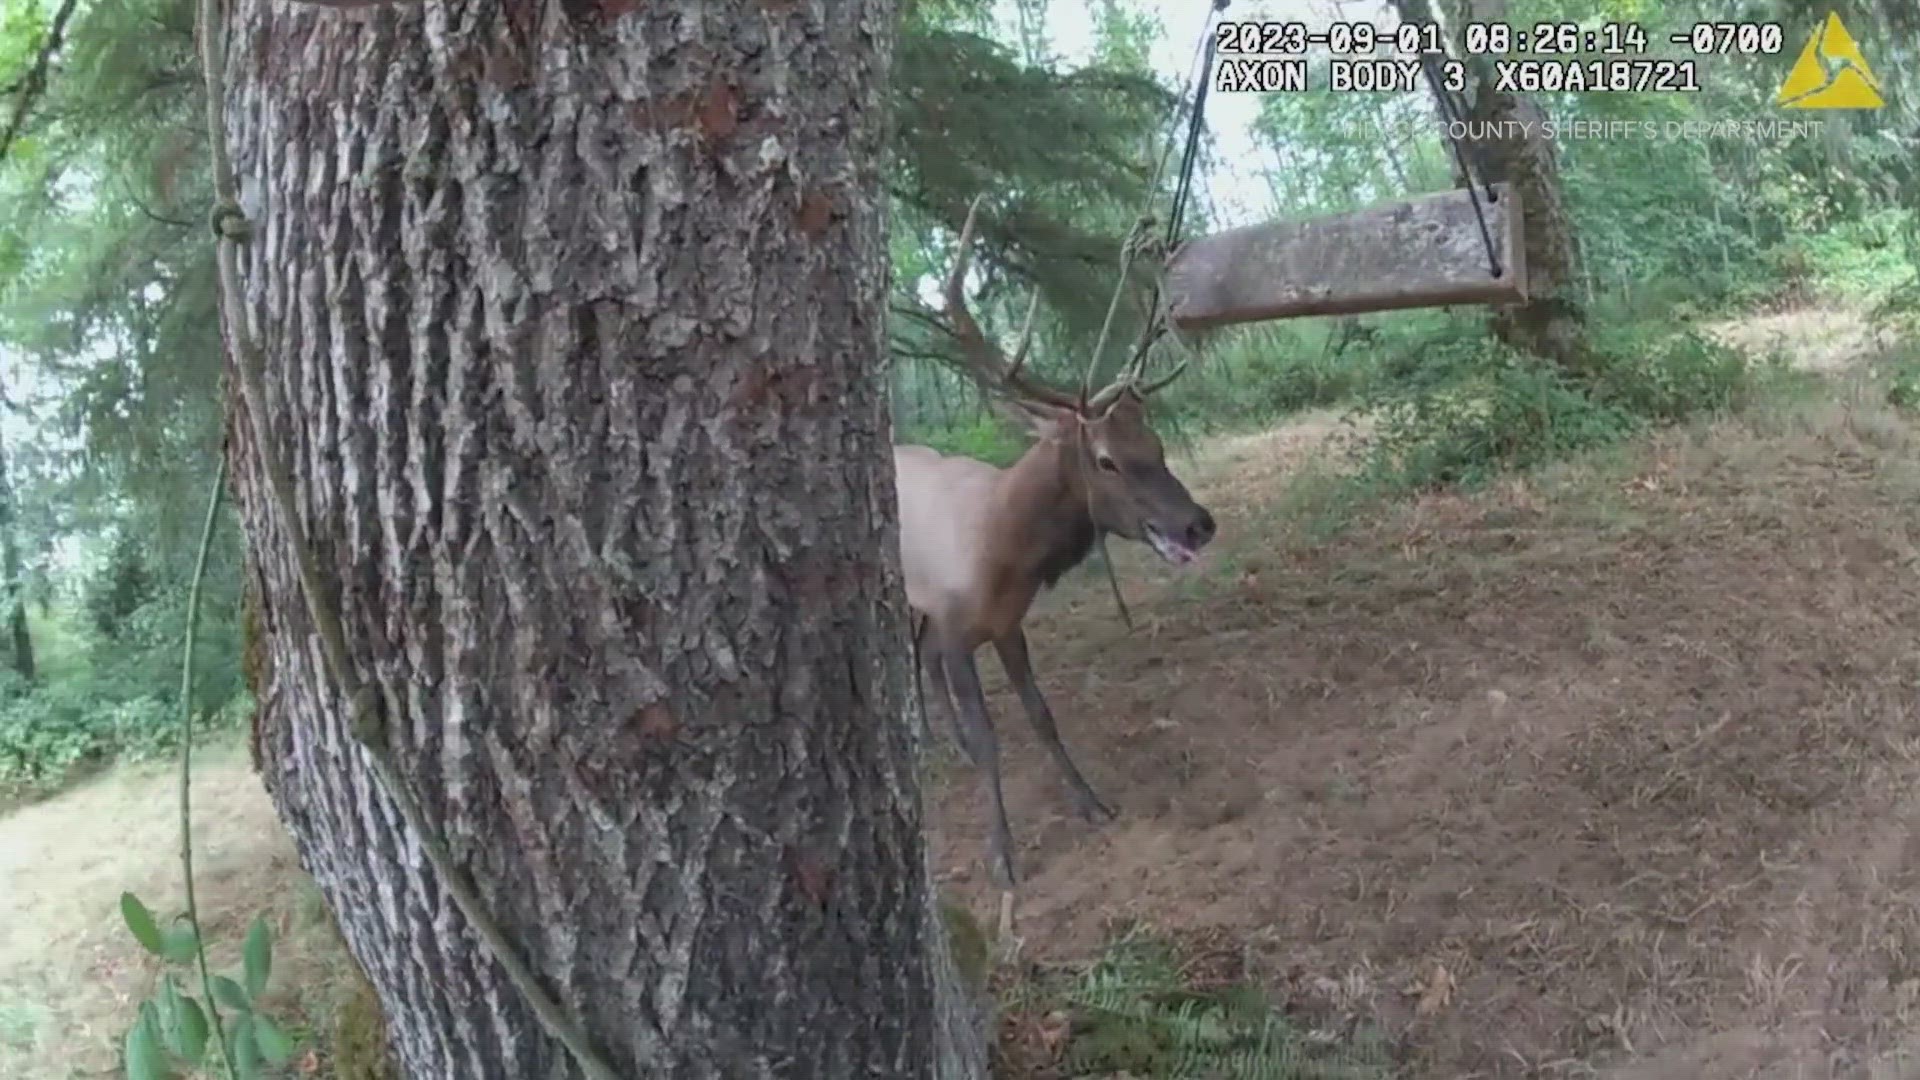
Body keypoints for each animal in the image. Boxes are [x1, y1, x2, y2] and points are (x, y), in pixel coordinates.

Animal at [893, 195, 1218, 891]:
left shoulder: (1006, 624)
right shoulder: (957, 625)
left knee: (922, 656)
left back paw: (949, 742)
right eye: (1106, 459)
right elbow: (991, 731)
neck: (1002, 555)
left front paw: (1091, 802)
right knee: (912, 655)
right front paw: (1003, 855)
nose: (1197, 523)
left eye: (1157, 443)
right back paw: (932, 740)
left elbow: (1041, 713)